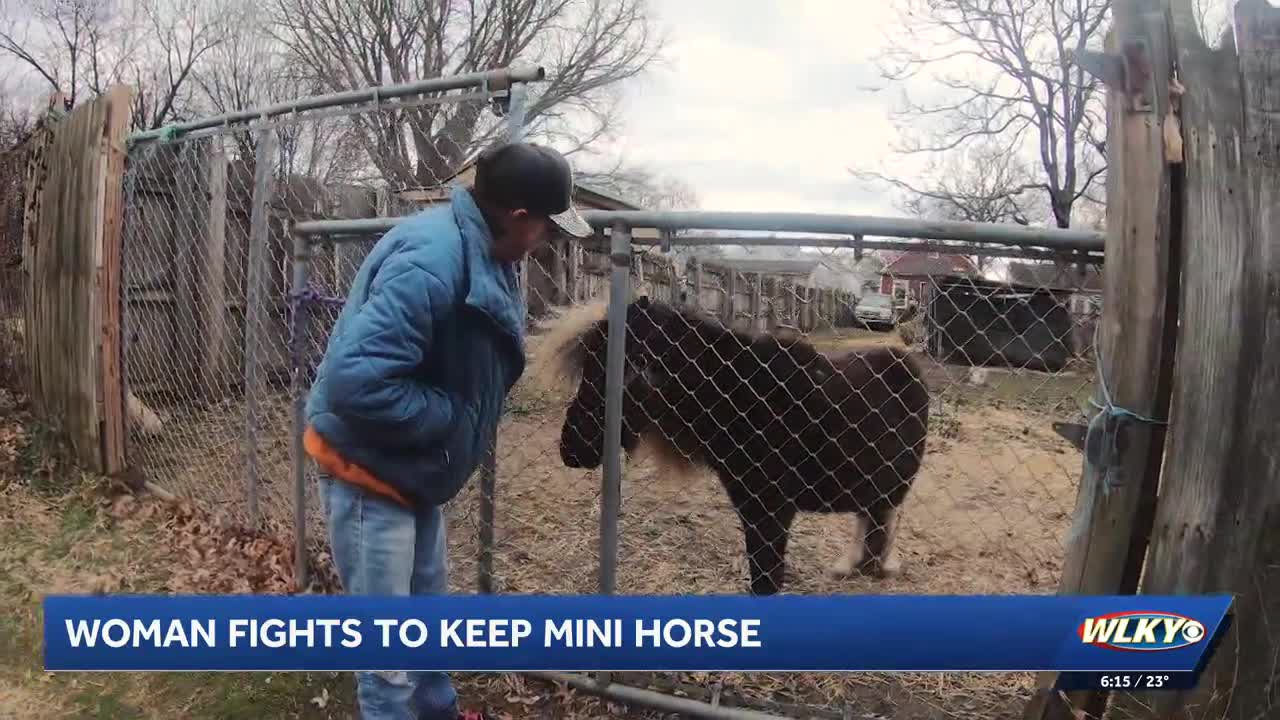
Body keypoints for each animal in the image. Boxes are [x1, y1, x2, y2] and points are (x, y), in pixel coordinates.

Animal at [529, 296, 932, 595]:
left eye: (613, 371)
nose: (570, 448)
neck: (731, 397)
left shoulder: (772, 509)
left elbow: (766, 579)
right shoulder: (751, 506)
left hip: (892, 486)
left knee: (879, 523)